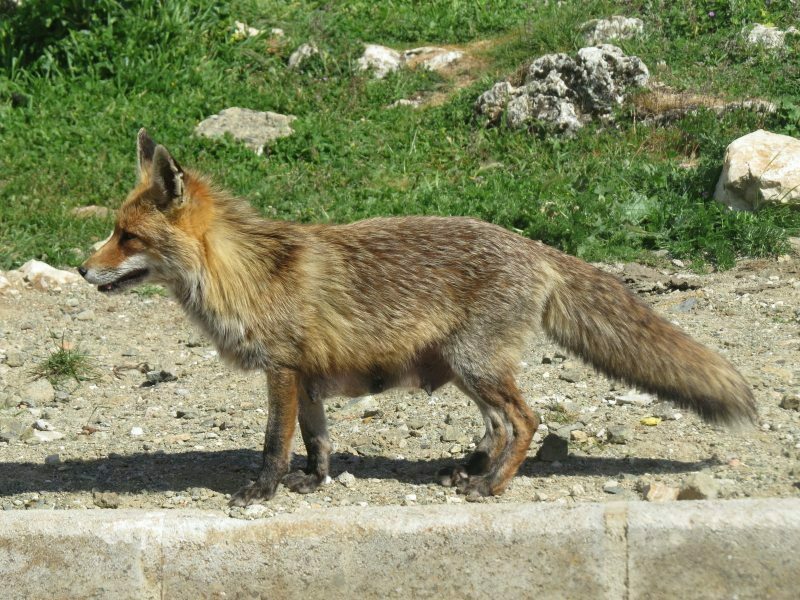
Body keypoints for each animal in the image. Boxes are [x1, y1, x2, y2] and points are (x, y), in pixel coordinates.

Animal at [80, 129, 757, 506]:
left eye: (127, 237)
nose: (83, 270)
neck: (244, 273)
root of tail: (534, 246)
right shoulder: (308, 379)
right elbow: (318, 442)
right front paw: (315, 483)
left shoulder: (282, 370)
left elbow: (275, 443)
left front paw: (262, 491)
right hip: (465, 369)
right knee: (498, 426)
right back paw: (471, 469)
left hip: (473, 364)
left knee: (526, 420)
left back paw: (491, 486)